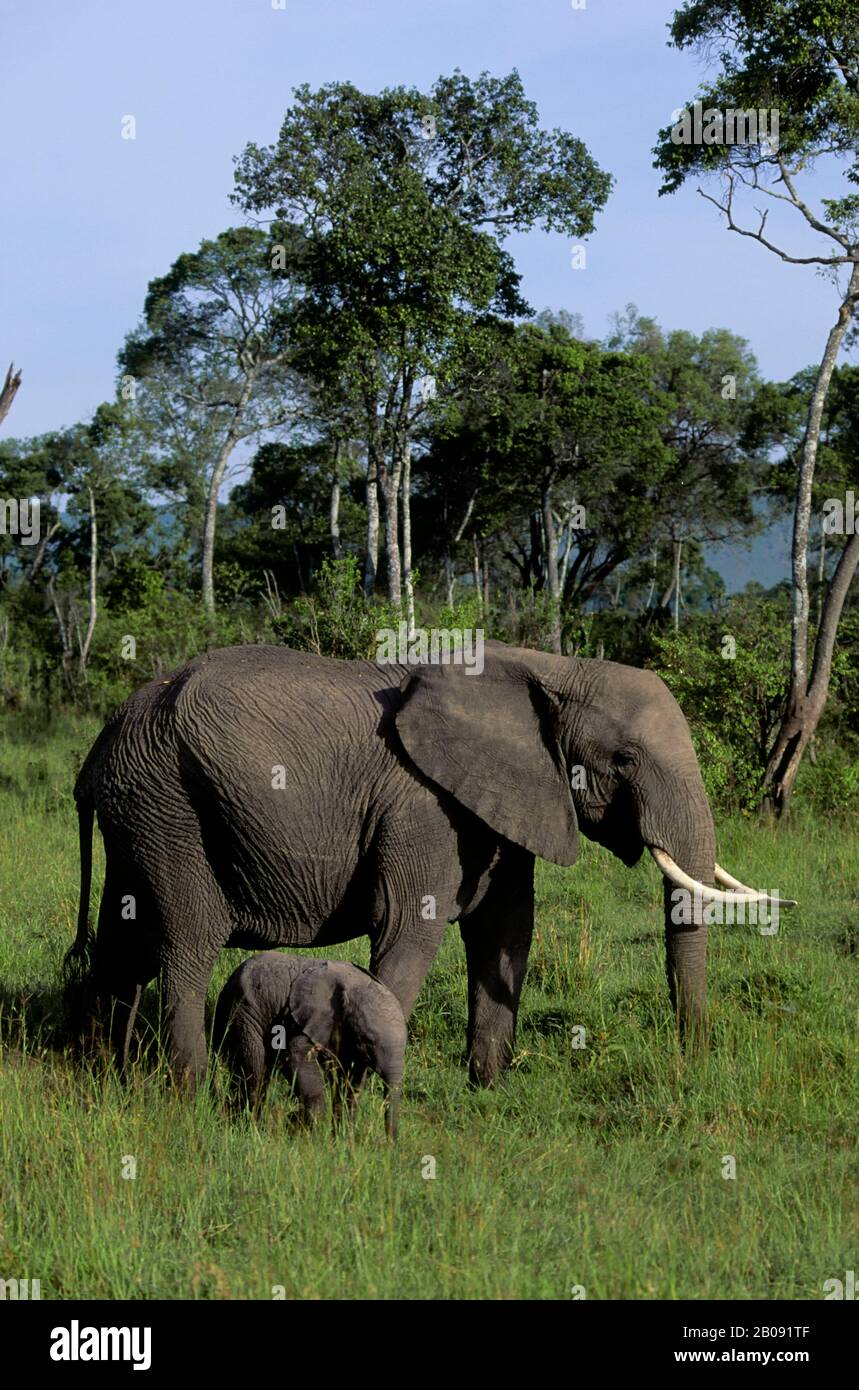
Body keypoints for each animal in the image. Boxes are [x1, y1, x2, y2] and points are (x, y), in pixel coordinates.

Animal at [66, 640, 792, 1089]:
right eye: (625, 761)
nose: (691, 1058)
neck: (545, 668)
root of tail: (101, 742)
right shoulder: (423, 807)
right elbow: (407, 932)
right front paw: (357, 1094)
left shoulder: (505, 801)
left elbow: (505, 930)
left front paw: (488, 1088)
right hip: (170, 806)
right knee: (185, 945)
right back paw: (187, 1090)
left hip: (141, 814)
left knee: (122, 943)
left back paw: (98, 1077)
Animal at [213, 954, 407, 1138]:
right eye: (369, 1040)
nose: (391, 1144)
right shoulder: (304, 1019)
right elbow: (296, 1058)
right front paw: (311, 1133)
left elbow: (351, 1082)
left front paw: (341, 1138)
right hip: (243, 1014)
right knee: (254, 1070)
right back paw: (251, 1127)